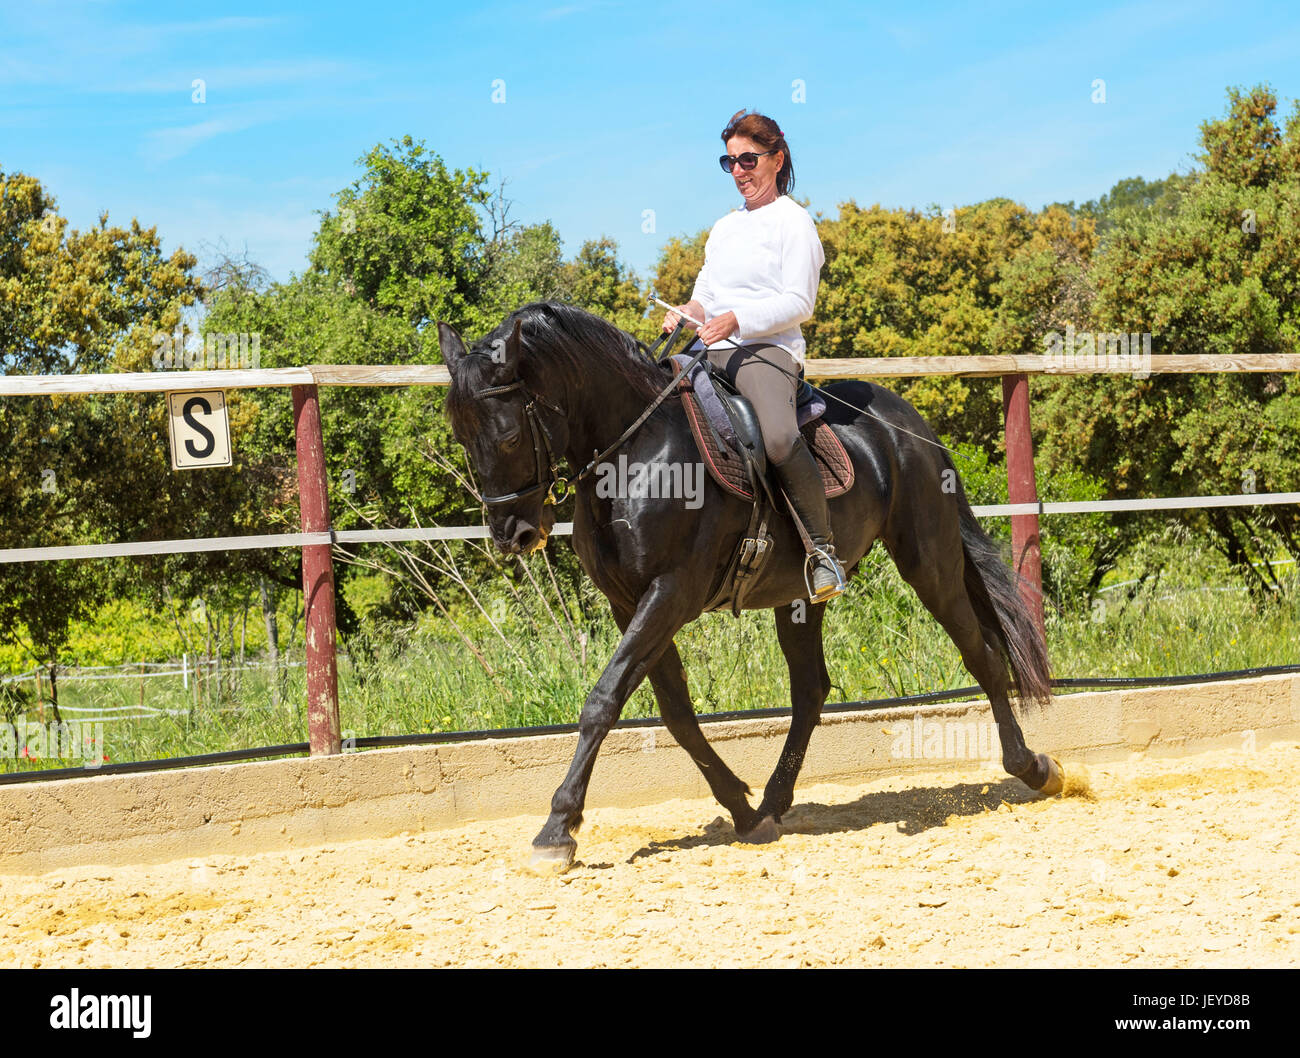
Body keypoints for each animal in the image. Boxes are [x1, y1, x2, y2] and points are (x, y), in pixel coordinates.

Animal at [439, 300, 1062, 869]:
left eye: (510, 434)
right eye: (460, 436)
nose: (514, 534)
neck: (636, 454)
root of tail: (906, 421)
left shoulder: (670, 593)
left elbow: (603, 700)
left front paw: (557, 829)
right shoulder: (630, 603)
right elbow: (676, 714)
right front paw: (739, 808)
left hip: (929, 562)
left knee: (982, 655)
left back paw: (1034, 767)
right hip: (801, 597)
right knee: (810, 690)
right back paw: (772, 803)